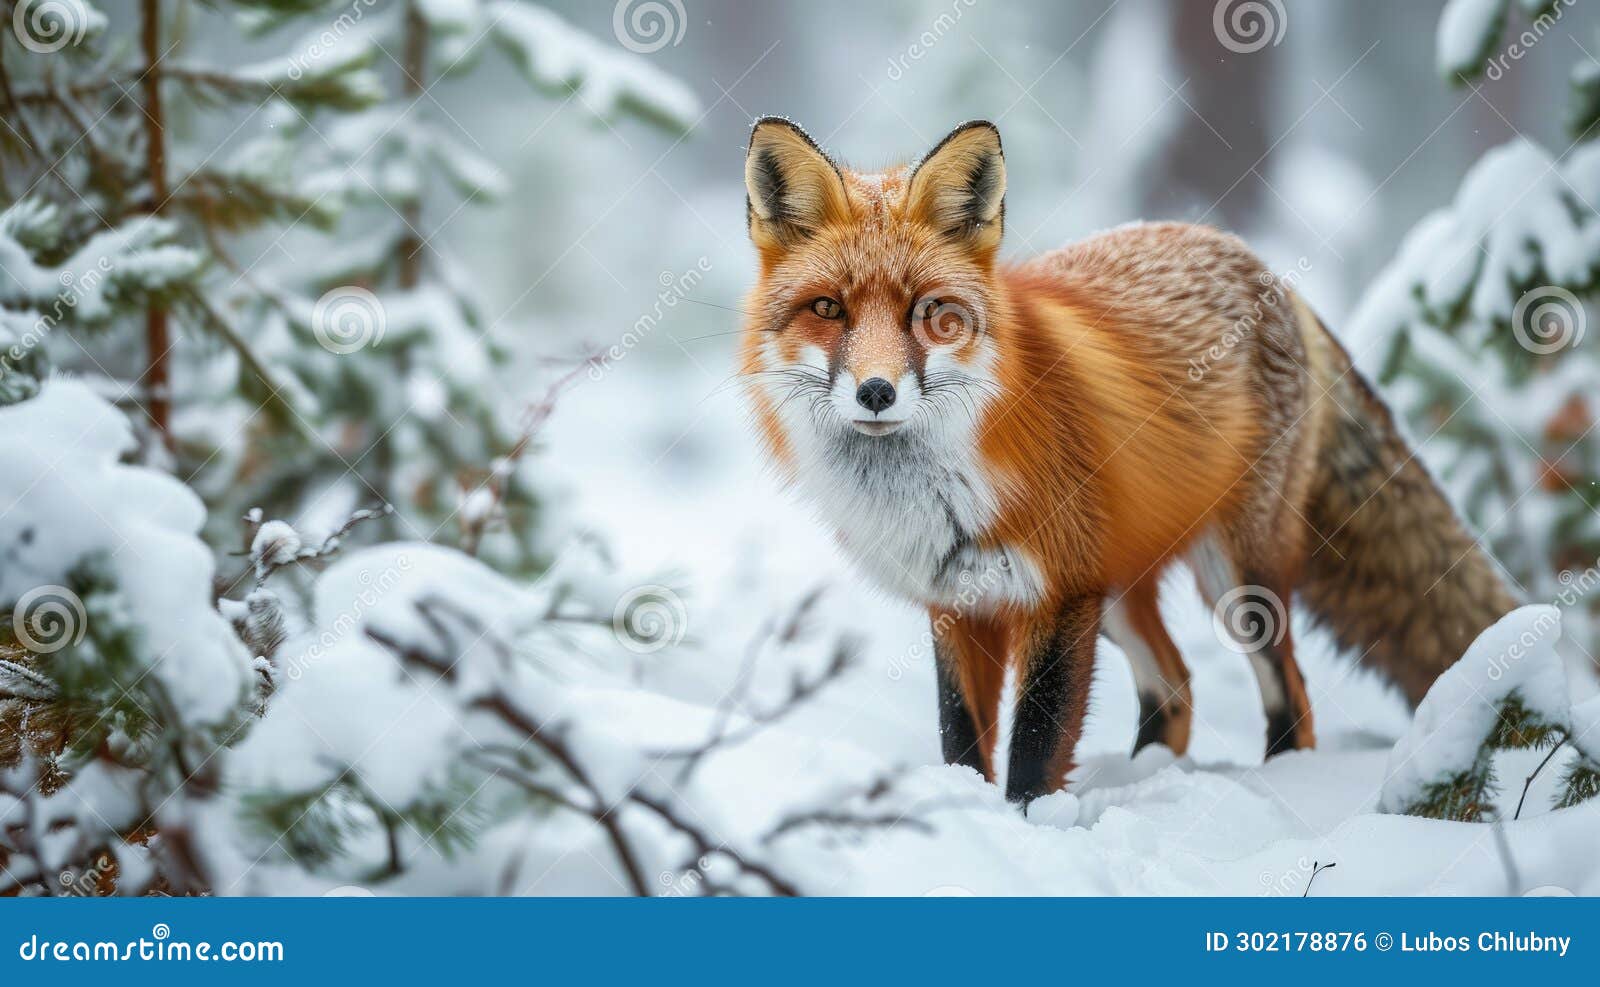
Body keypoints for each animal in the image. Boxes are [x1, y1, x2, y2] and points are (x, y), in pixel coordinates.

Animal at [738, 117, 1520, 806]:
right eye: (829, 309)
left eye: (927, 312)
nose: (876, 391)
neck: (939, 491)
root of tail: (1267, 271)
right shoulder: (959, 603)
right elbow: (961, 740)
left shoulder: (1058, 592)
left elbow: (1036, 745)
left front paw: (1030, 827)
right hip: (1119, 591)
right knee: (1175, 689)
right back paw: (1145, 778)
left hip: (1236, 589)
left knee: (1289, 698)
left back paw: (1282, 785)